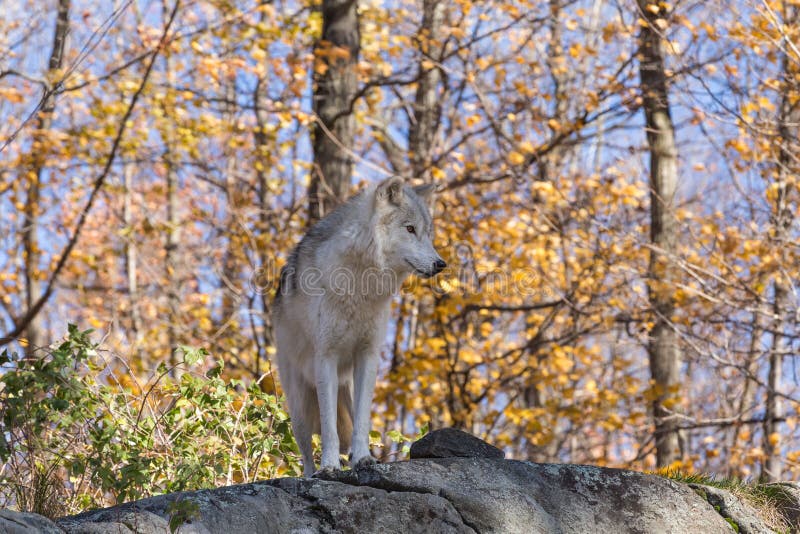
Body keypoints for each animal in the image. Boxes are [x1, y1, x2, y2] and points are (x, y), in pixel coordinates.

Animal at [273, 177, 446, 476]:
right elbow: (329, 427)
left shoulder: (367, 355)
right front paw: (329, 466)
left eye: (428, 234)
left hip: (348, 386)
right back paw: (311, 473)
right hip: (300, 404)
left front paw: (363, 459)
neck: (360, 283)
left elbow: (362, 422)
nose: (440, 264)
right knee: (305, 450)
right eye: (410, 229)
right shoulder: (326, 357)